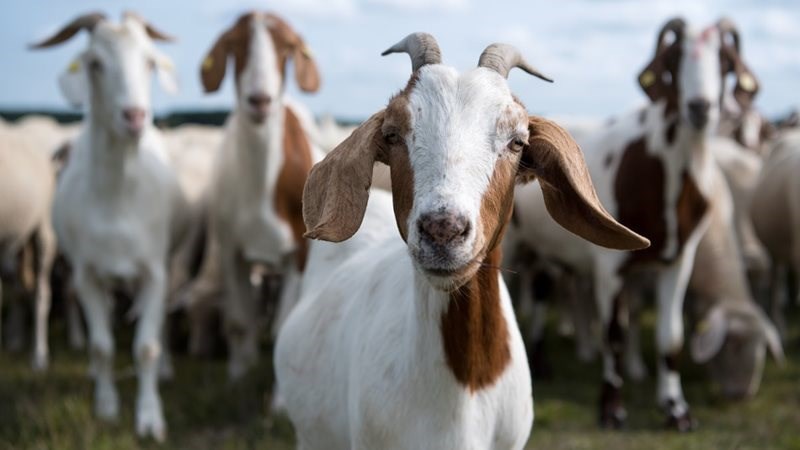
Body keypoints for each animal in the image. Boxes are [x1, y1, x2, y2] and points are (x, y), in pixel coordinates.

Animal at [31, 12, 184, 441]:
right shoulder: (87, 274)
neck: (118, 197)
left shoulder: (154, 271)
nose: (134, 117)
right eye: (95, 63)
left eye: (149, 62)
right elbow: (101, 346)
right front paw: (106, 405)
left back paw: (166, 370)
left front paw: (149, 417)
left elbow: (146, 346)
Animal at [193, 11, 322, 380]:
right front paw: (238, 376)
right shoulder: (230, 250)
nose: (260, 100)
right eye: (233, 44)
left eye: (288, 46)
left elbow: (284, 327)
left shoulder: (299, 254)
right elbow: (238, 321)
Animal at [507, 18, 761, 430]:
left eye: (724, 61)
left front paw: (676, 410)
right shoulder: (610, 266)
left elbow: (671, 337)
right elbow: (613, 334)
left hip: (545, 249)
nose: (700, 107)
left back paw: (542, 365)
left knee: (543, 291)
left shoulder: (679, 261)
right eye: (674, 58)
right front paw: (611, 409)